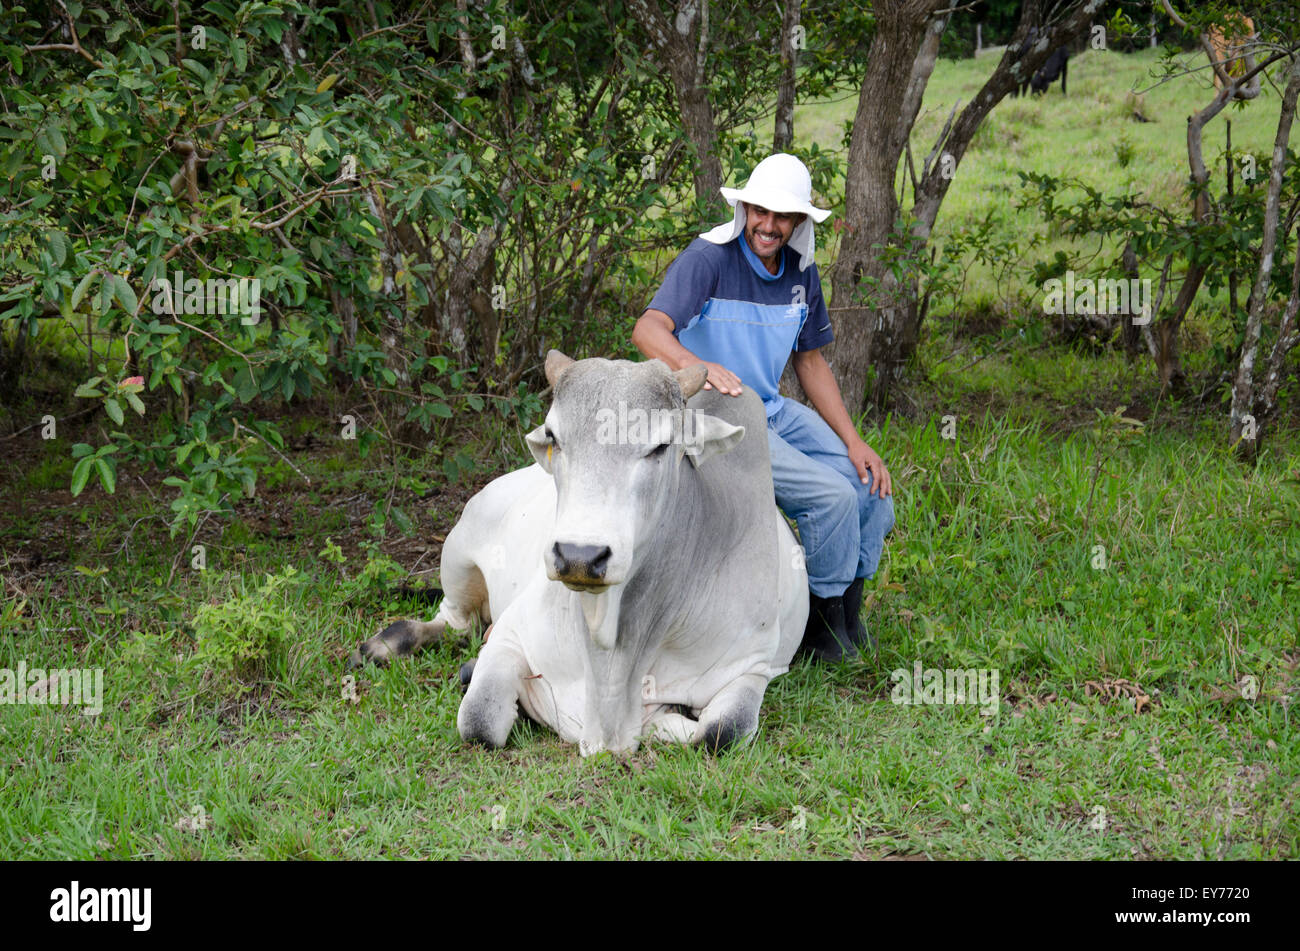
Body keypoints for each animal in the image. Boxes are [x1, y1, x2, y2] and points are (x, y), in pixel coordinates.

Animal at [352, 351, 809, 755]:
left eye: (662, 446)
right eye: (554, 436)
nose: (579, 556)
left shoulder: (752, 667)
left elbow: (719, 734)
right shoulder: (512, 634)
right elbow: (479, 723)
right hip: (459, 554)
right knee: (454, 623)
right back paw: (385, 646)